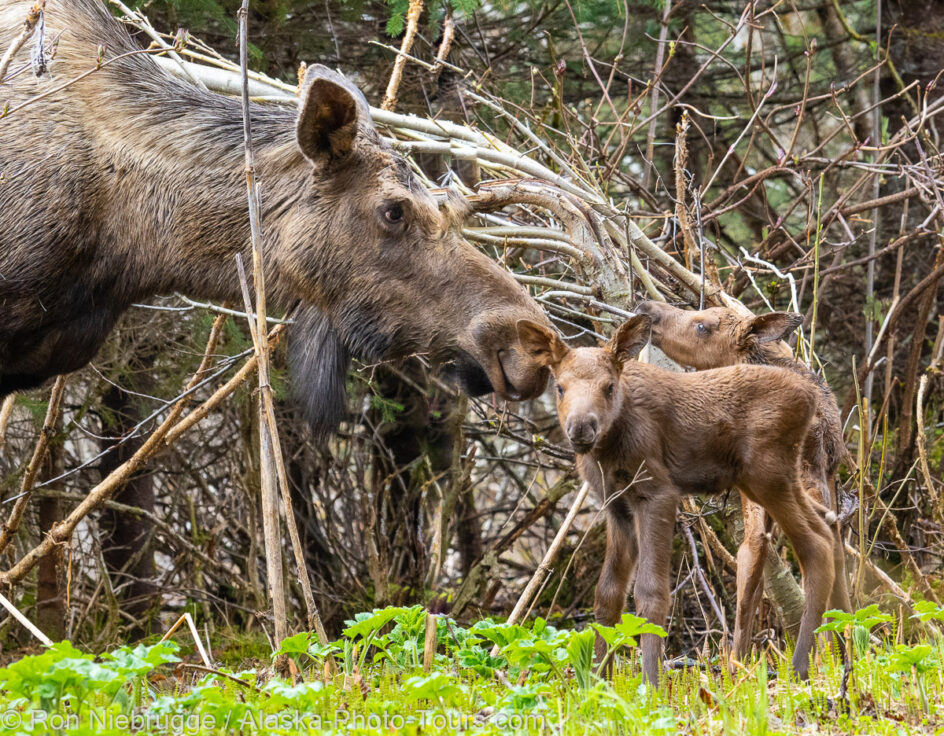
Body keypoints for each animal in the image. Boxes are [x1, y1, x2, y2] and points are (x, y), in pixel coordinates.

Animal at [516, 314, 836, 685]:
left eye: (608, 386)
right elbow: (607, 593)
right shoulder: (616, 506)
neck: (607, 450)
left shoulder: (658, 493)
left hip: (769, 475)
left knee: (816, 545)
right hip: (769, 480)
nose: (582, 427)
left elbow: (650, 592)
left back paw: (800, 668)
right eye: (559, 387)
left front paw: (651, 684)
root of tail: (811, 397)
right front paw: (597, 680)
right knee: (825, 531)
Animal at [637, 300, 852, 661]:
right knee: (832, 555)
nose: (648, 307)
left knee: (779, 559)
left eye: (702, 326)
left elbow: (748, 581)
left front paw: (736, 665)